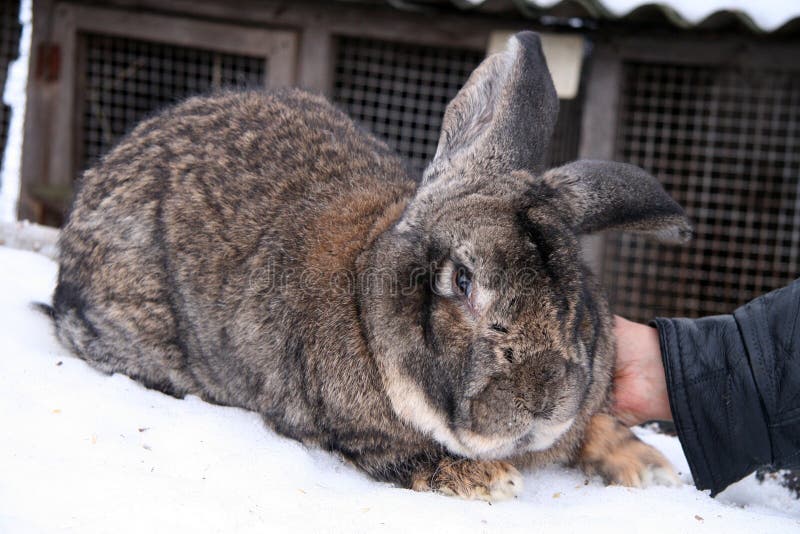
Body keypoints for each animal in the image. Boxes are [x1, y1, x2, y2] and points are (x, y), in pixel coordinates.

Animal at [48, 31, 691, 501]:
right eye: (462, 280)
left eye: (575, 300)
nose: (541, 400)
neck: (364, 295)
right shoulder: (352, 430)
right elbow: (402, 456)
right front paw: (489, 481)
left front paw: (648, 465)